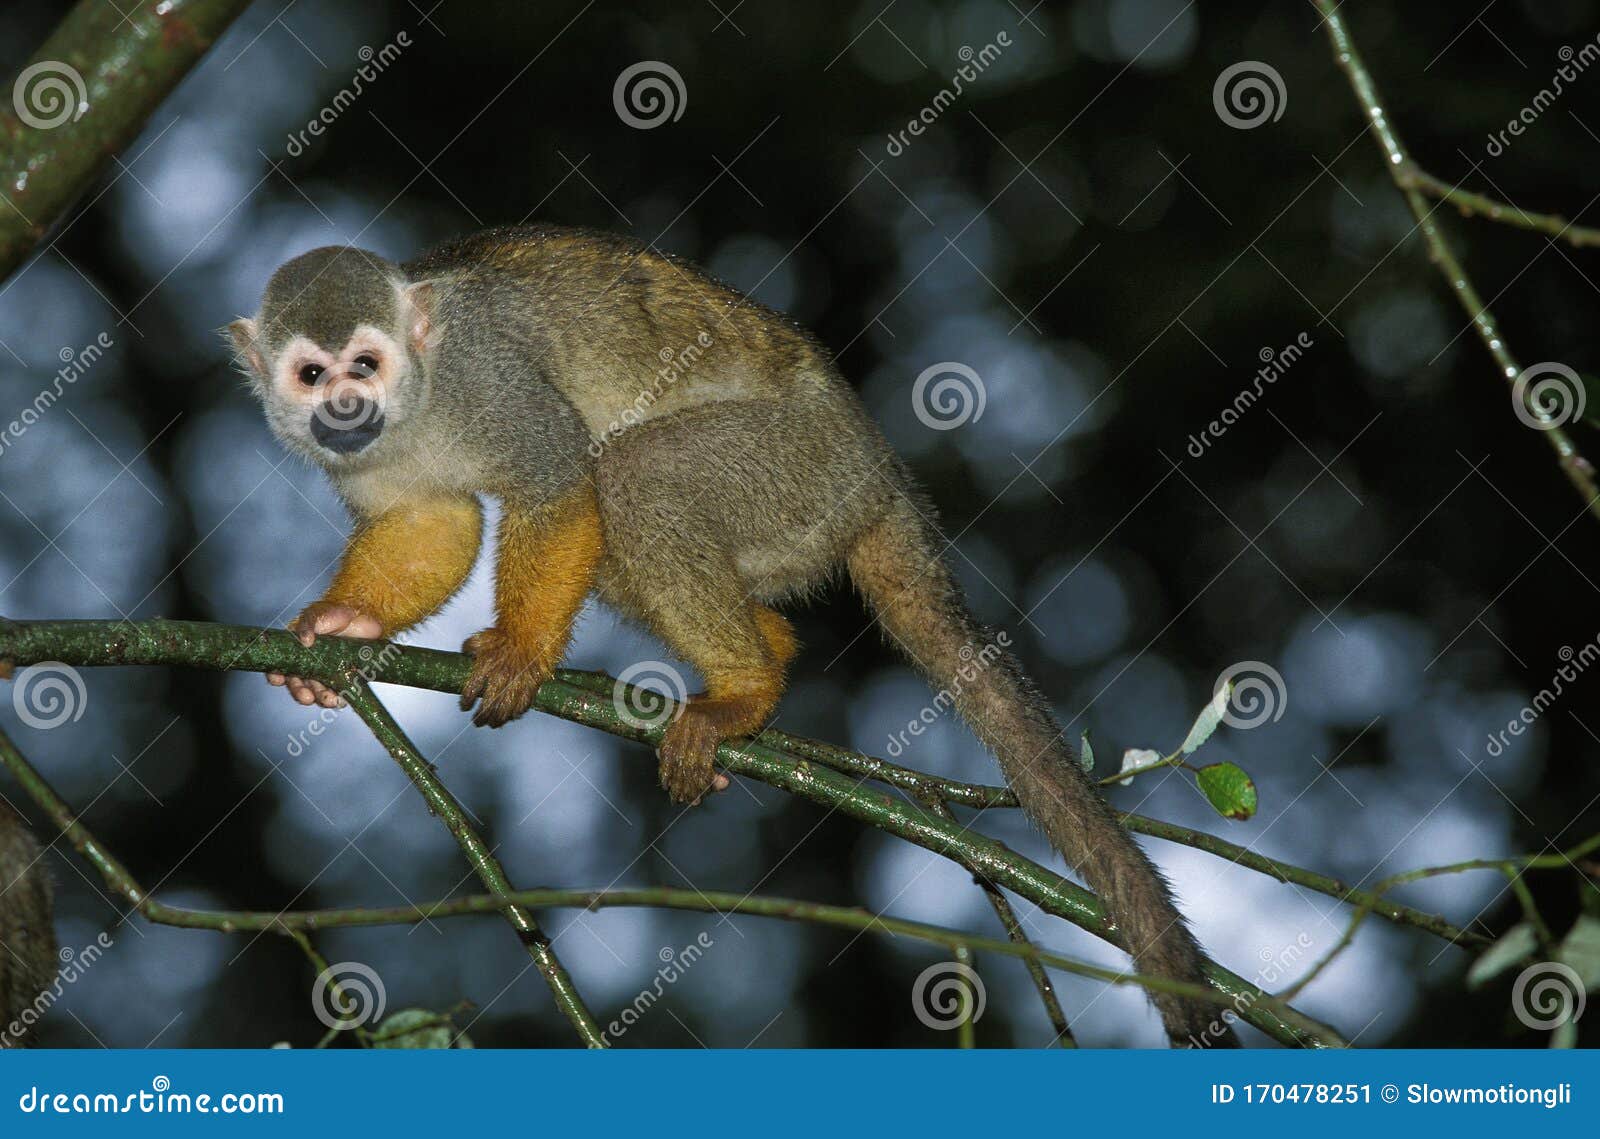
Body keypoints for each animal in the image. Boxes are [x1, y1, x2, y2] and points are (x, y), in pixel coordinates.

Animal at [228, 226, 1233, 1046]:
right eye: (312, 375)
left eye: (365, 363)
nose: (344, 408)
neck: (420, 401)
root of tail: (879, 474)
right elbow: (430, 521)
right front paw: (343, 623)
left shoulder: (492, 385)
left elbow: (560, 480)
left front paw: (520, 651)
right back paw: (769, 655)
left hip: (795, 466)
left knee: (630, 472)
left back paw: (745, 687)